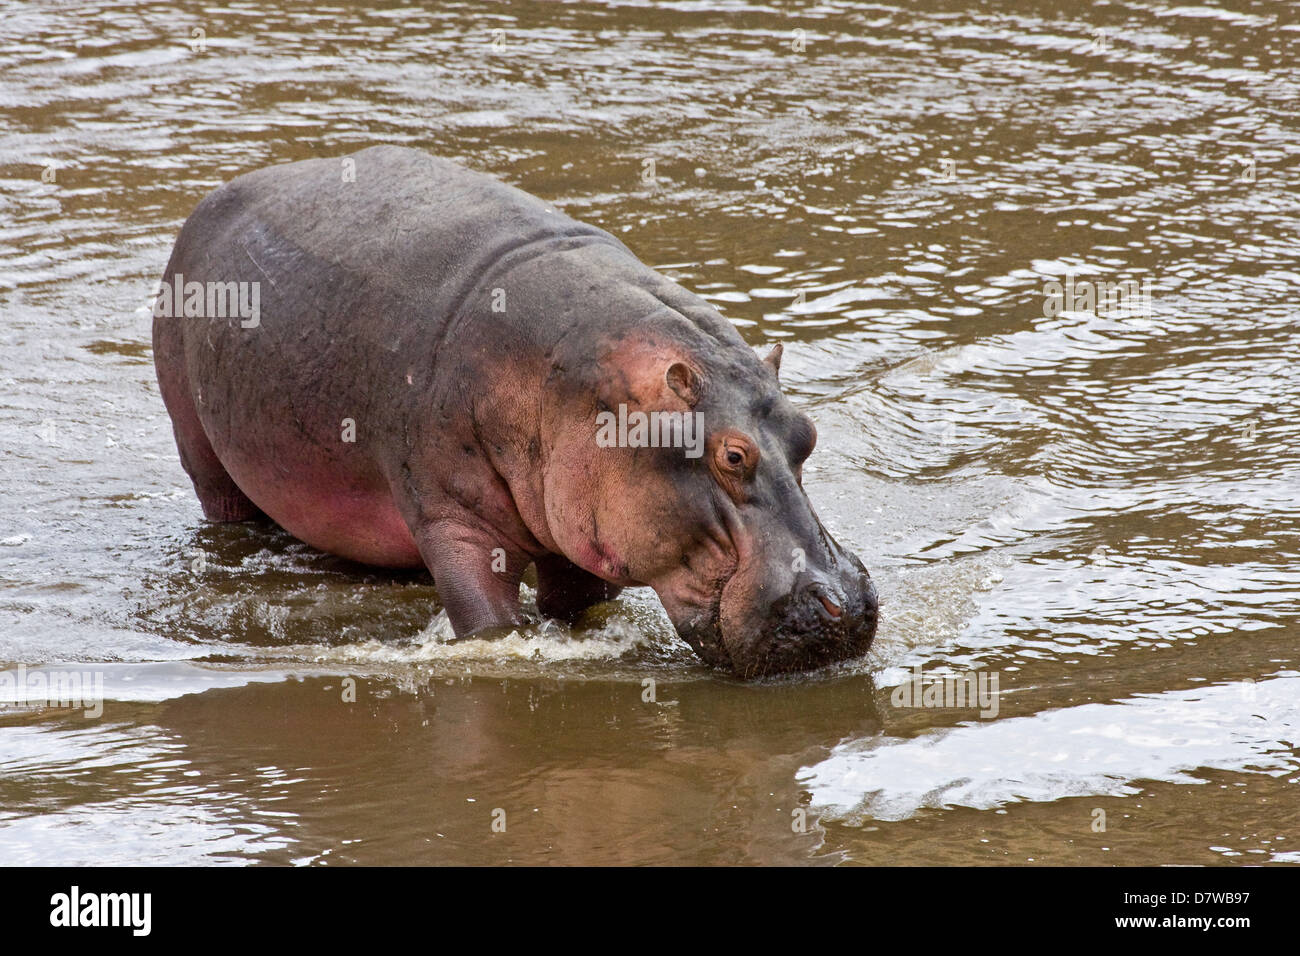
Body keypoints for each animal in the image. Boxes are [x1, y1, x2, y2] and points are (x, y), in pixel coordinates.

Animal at [152, 145, 878, 678]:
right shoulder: (456, 521)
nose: (849, 608)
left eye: (808, 434)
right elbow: (488, 621)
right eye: (732, 454)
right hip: (201, 450)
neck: (582, 382)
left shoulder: (582, 528)